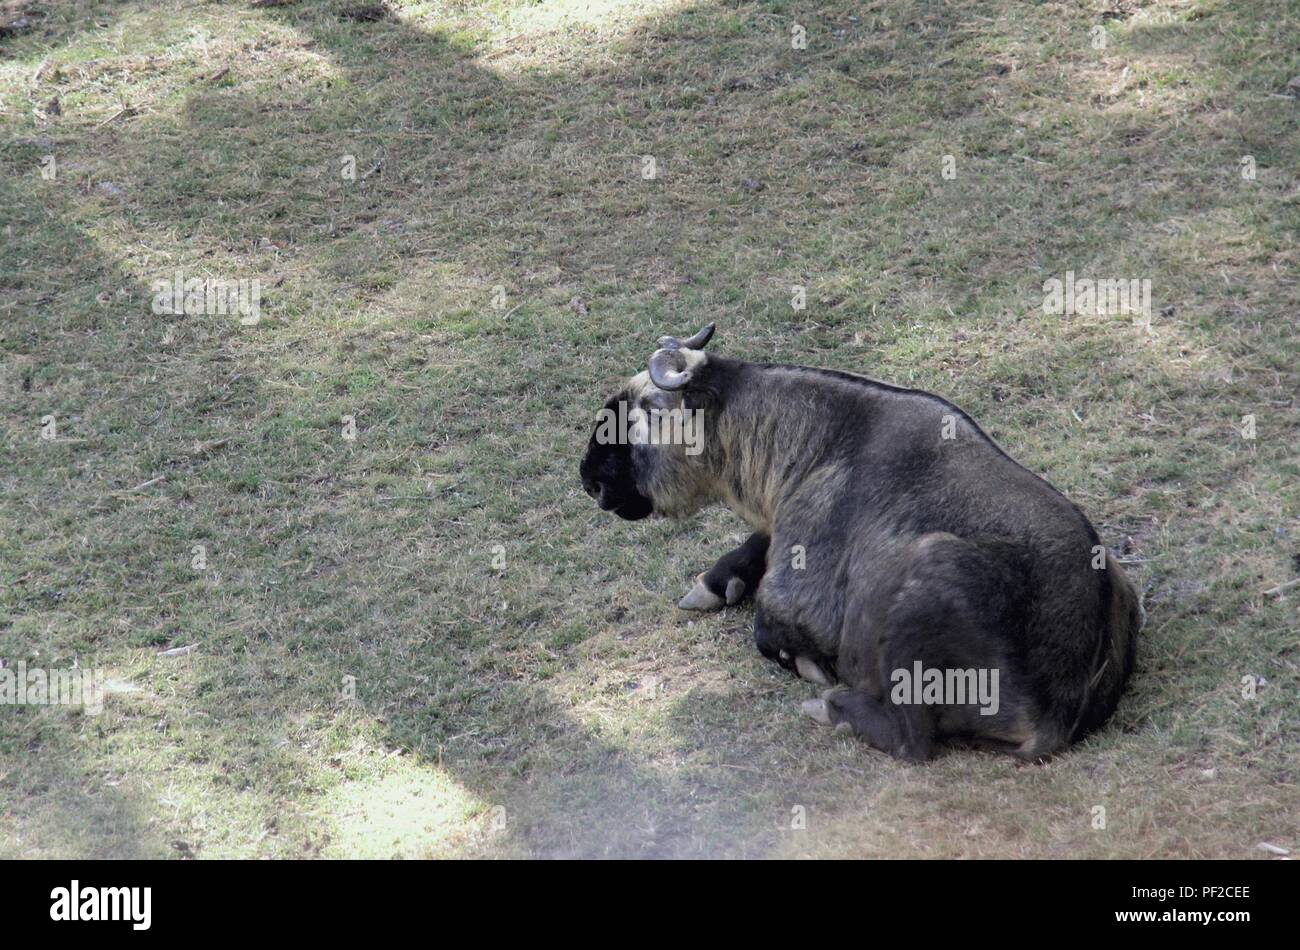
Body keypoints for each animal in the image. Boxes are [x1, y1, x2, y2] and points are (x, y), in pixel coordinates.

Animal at [579, 324, 1142, 761]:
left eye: (645, 410)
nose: (590, 479)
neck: (821, 439)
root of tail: (1059, 707)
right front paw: (717, 582)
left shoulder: (799, 599)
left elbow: (767, 631)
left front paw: (804, 665)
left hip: (934, 570)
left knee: (912, 742)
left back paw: (833, 708)